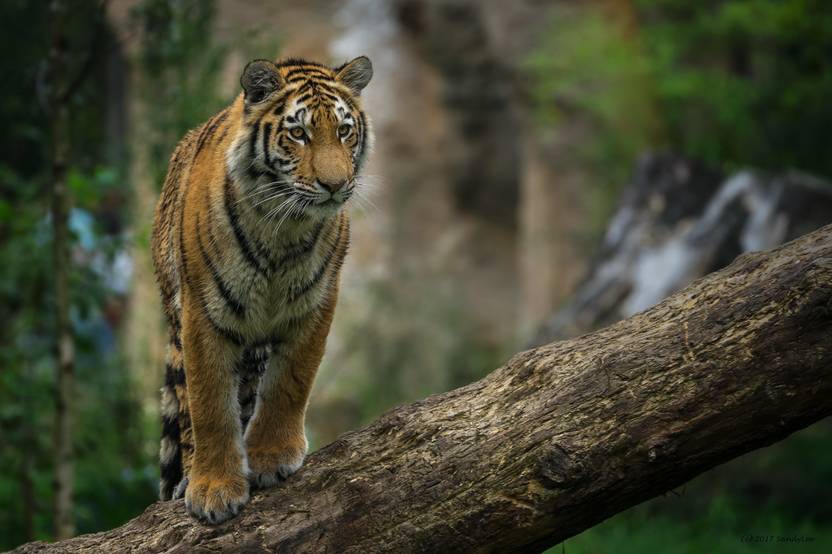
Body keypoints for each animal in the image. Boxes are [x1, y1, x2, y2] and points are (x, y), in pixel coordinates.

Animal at [151, 56, 373, 523]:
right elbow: (210, 404)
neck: (283, 228)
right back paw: (187, 478)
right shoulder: (203, 313)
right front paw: (213, 490)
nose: (335, 185)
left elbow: (290, 382)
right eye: (299, 133)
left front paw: (271, 458)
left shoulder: (315, 303)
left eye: (344, 131)